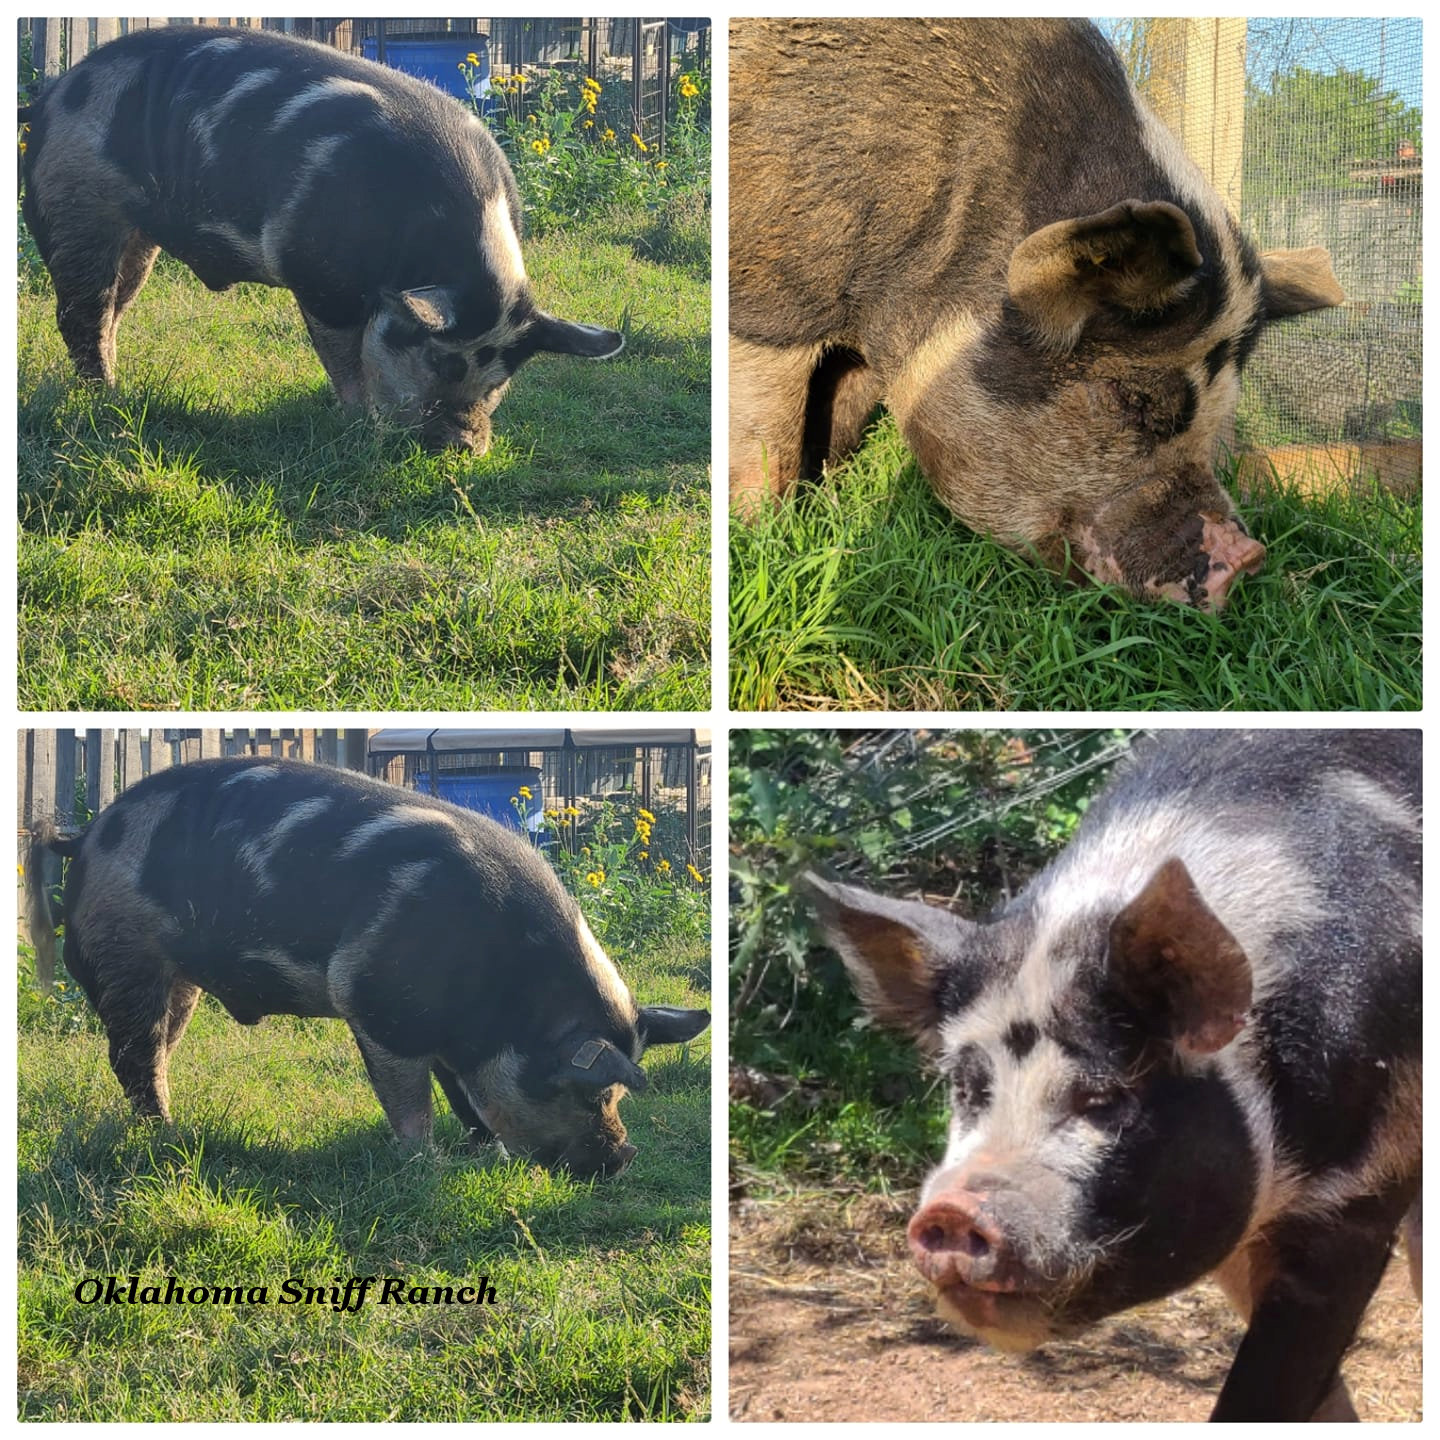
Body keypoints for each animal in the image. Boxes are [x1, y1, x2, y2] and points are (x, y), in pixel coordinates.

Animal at [20, 26, 624, 453]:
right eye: (440, 360)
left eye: (500, 380)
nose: (463, 446)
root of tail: (52, 94)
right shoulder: (319, 277)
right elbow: (346, 359)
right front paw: (358, 428)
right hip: (77, 204)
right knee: (81, 312)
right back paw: (104, 400)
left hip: (138, 238)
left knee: (114, 309)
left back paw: (115, 387)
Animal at [25, 757, 709, 1179]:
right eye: (586, 1090)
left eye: (617, 1095)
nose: (622, 1157)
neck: (505, 1000)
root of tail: (85, 835)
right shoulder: (380, 1004)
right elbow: (411, 1101)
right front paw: (426, 1165)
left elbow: (462, 1094)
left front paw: (484, 1153)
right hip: (126, 955)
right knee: (133, 1055)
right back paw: (167, 1135)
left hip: (177, 979)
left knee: (159, 1046)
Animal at [730, 20, 1345, 607]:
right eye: (1135, 399)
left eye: (1224, 408)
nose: (1246, 557)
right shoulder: (772, 309)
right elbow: (769, 444)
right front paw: (761, 533)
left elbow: (839, 421)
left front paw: (823, 505)